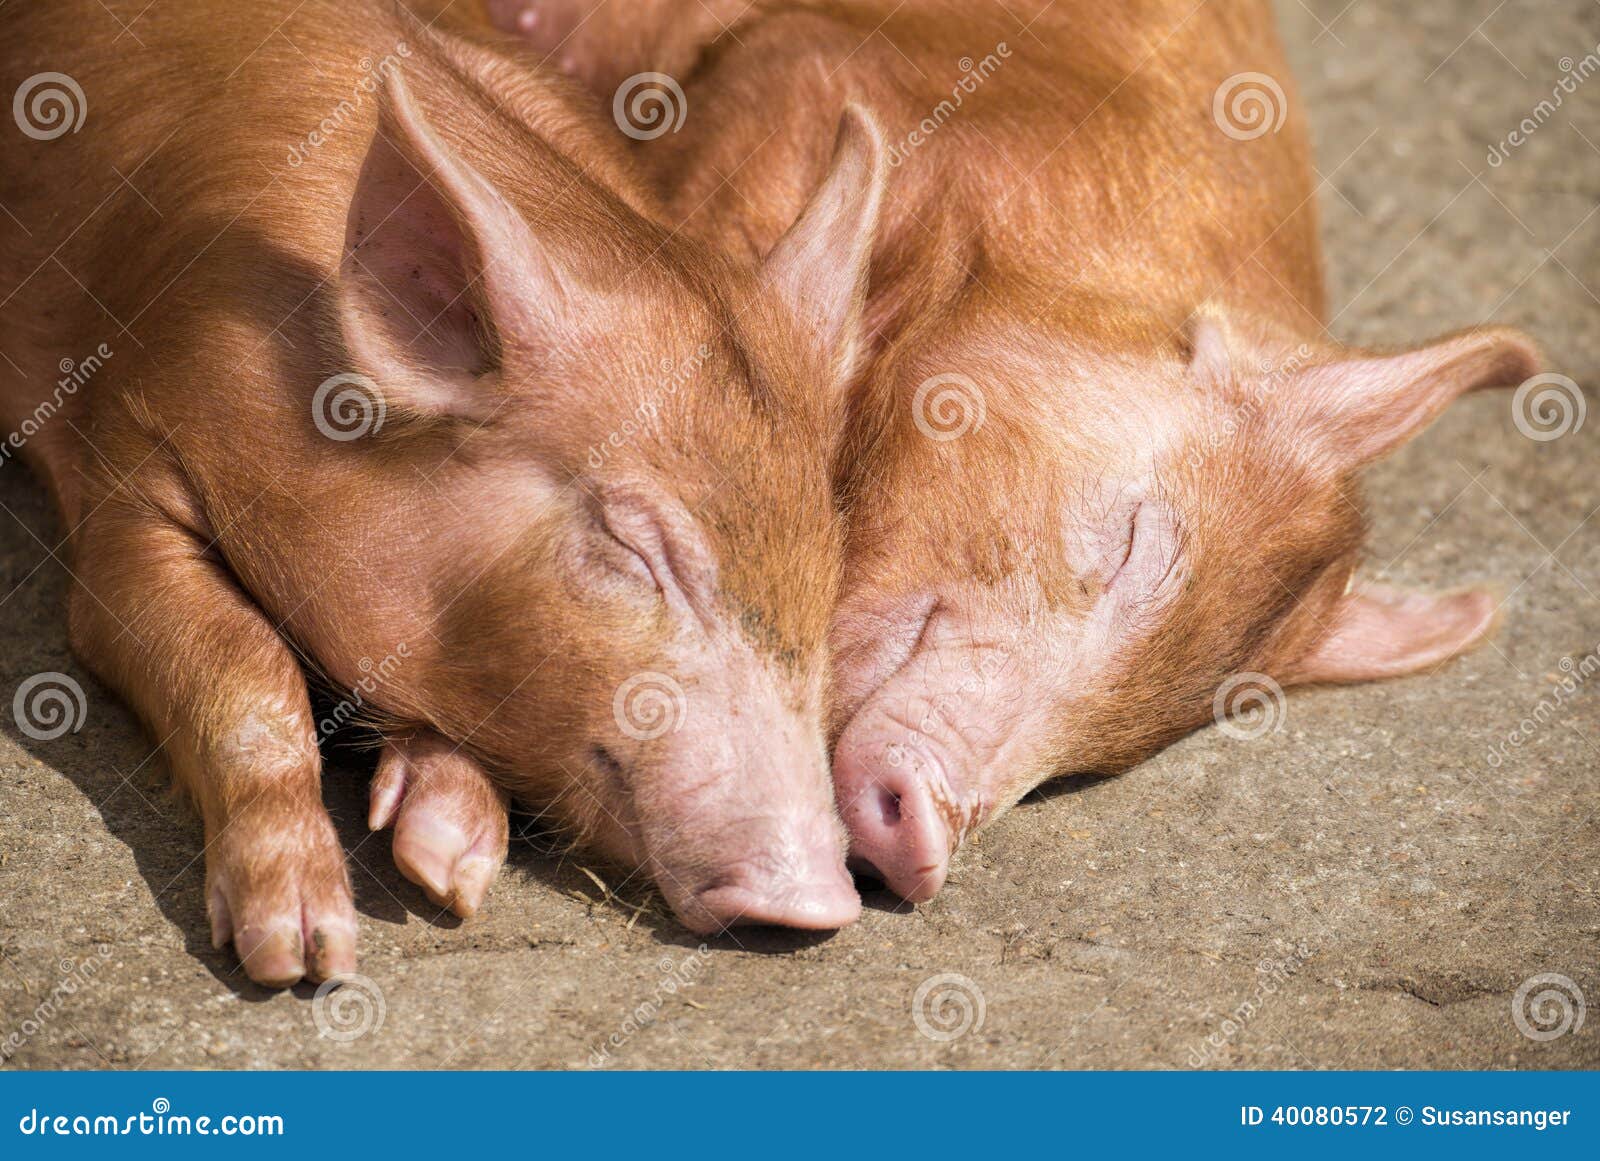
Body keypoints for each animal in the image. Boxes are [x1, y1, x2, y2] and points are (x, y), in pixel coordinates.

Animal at [0, 0, 887, 987]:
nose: (822, 900)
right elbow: (239, 664)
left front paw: (446, 863)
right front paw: (304, 953)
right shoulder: (132, 453)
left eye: (826, 550)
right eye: (629, 543)